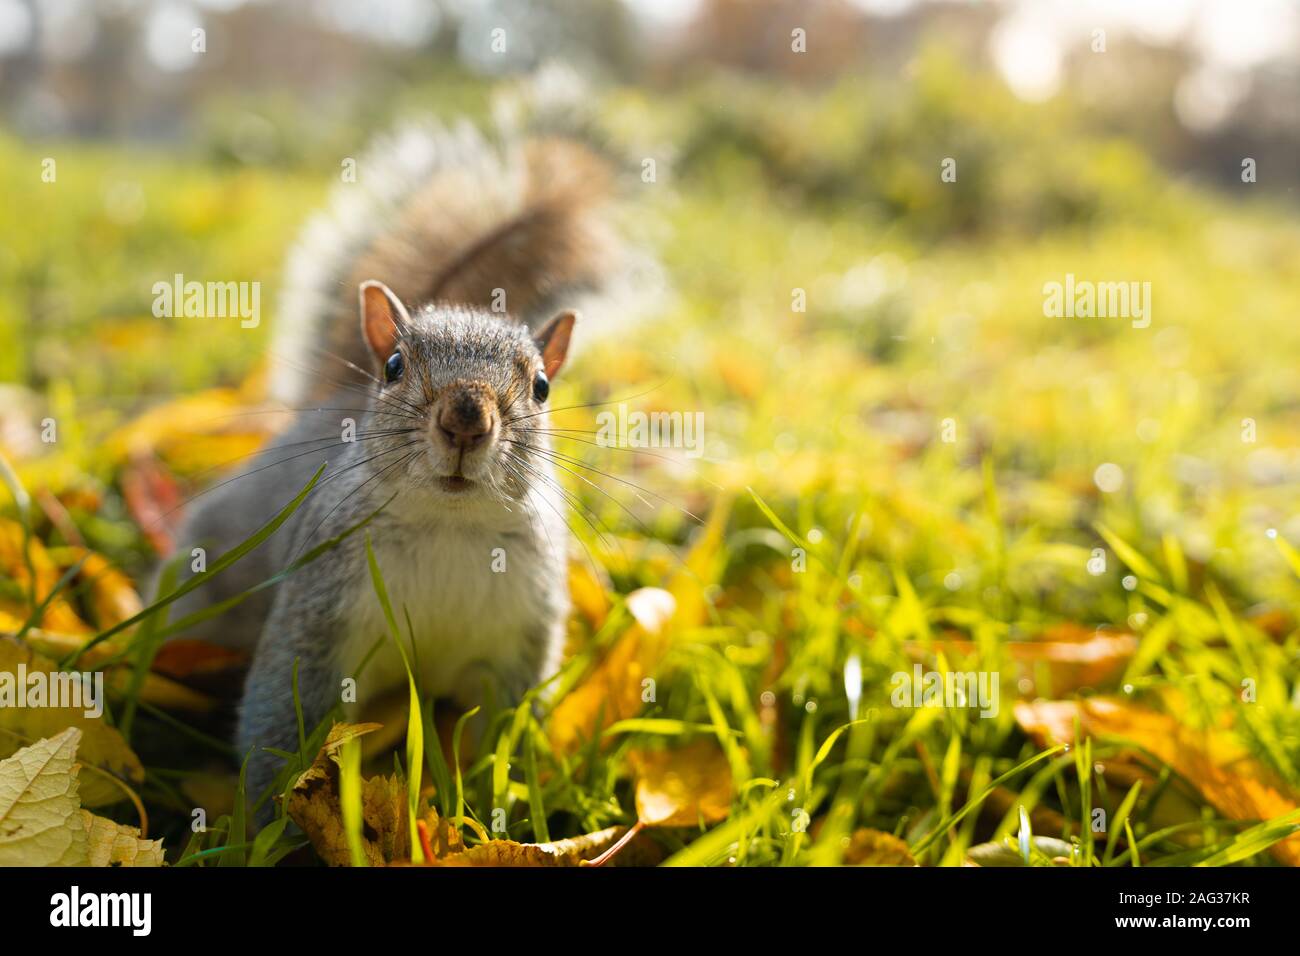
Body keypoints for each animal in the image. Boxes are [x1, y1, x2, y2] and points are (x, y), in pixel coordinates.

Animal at [158, 78, 628, 810]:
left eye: (544, 386)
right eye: (395, 367)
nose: (466, 419)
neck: (449, 526)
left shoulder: (516, 649)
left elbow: (502, 738)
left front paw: (496, 804)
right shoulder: (317, 621)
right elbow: (281, 717)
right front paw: (265, 817)